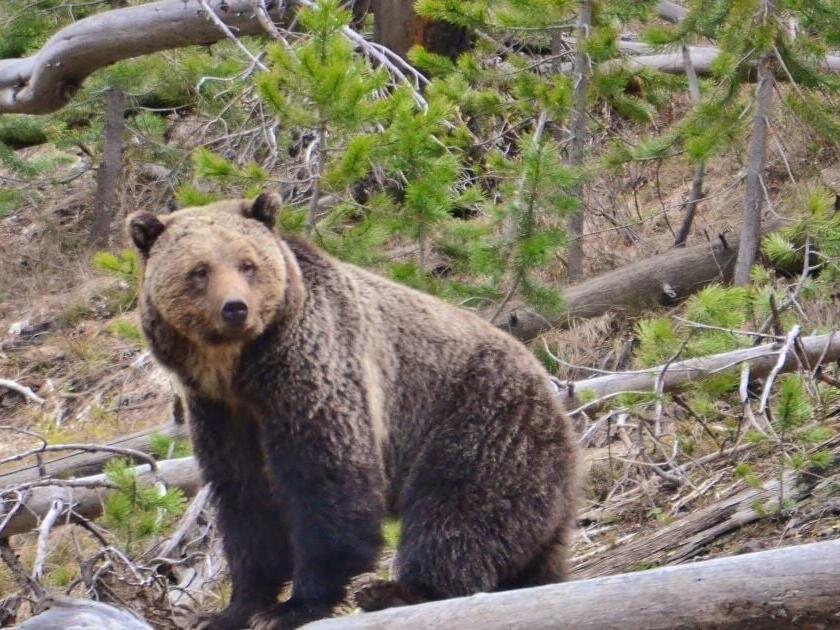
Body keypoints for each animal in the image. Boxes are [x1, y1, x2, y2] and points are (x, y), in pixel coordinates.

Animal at [127, 193, 578, 629]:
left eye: (247, 264)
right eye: (199, 270)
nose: (235, 308)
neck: (240, 371)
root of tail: (553, 395)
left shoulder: (313, 371)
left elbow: (326, 480)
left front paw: (295, 606)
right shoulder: (219, 413)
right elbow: (244, 499)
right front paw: (230, 609)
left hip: (480, 421)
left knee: (457, 513)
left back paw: (398, 591)